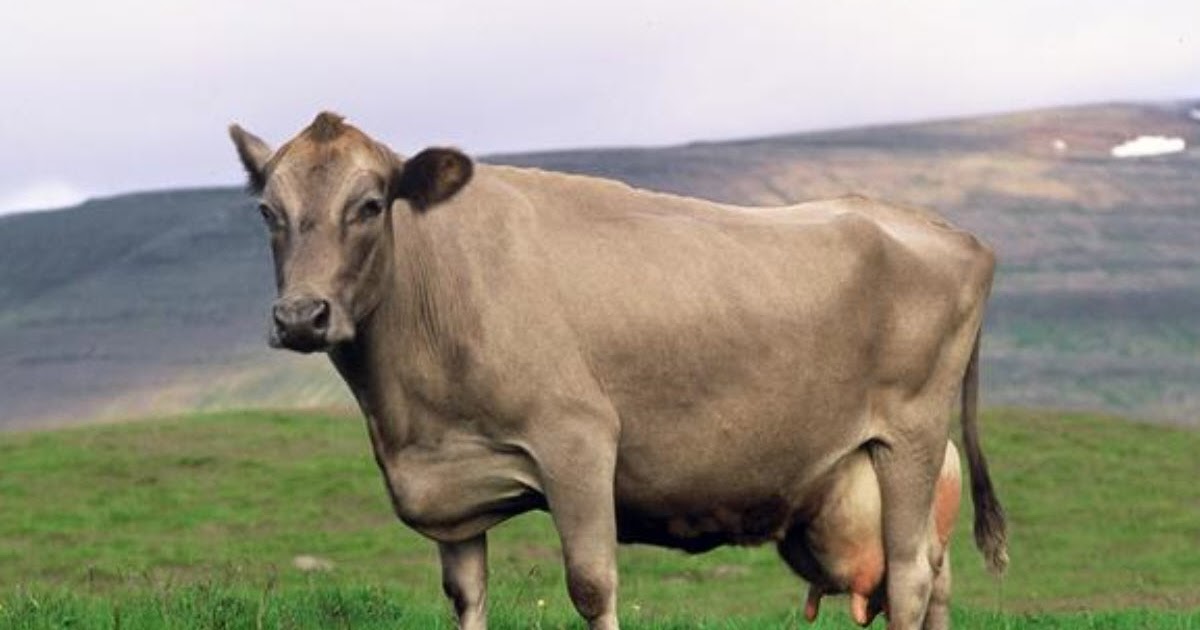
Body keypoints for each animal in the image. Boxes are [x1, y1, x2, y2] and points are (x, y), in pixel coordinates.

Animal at [227, 112, 1007, 630]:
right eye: (268, 210)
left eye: (369, 205)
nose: (301, 316)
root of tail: (951, 234)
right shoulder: (452, 484)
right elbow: (466, 596)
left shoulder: (578, 441)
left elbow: (592, 586)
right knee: (931, 578)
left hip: (909, 437)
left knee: (910, 578)